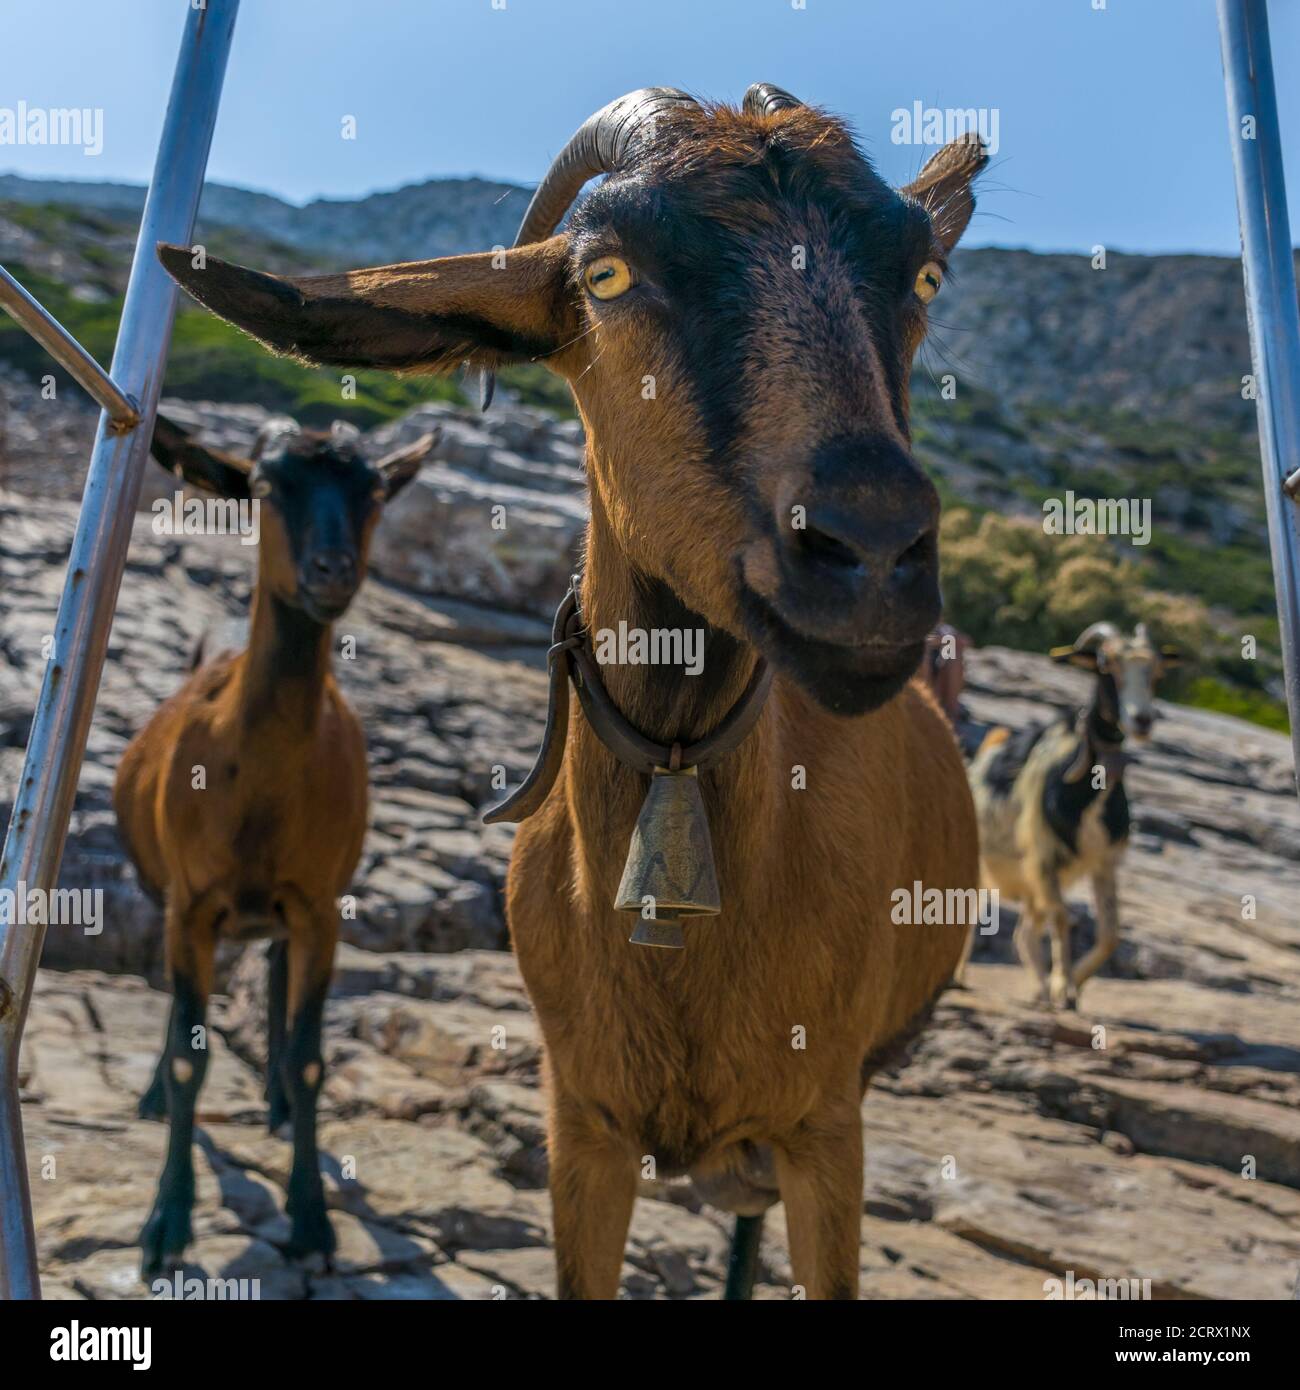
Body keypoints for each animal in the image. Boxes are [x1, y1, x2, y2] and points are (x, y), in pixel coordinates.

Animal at [113, 414, 432, 1274]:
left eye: (375, 490)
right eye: (263, 483)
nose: (332, 569)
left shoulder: (321, 905)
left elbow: (313, 1056)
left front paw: (313, 1222)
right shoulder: (190, 906)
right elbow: (189, 1054)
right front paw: (166, 1224)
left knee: (281, 979)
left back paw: (280, 1106)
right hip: (165, 895)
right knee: (176, 1008)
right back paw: (153, 1093)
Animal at [956, 621, 1179, 1008]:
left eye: (1156, 672)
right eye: (1106, 665)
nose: (1142, 719)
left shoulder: (1103, 861)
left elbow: (1110, 933)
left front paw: (1070, 987)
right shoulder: (1043, 854)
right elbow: (1063, 919)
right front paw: (1062, 986)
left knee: (1025, 932)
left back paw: (1038, 987)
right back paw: (959, 977)